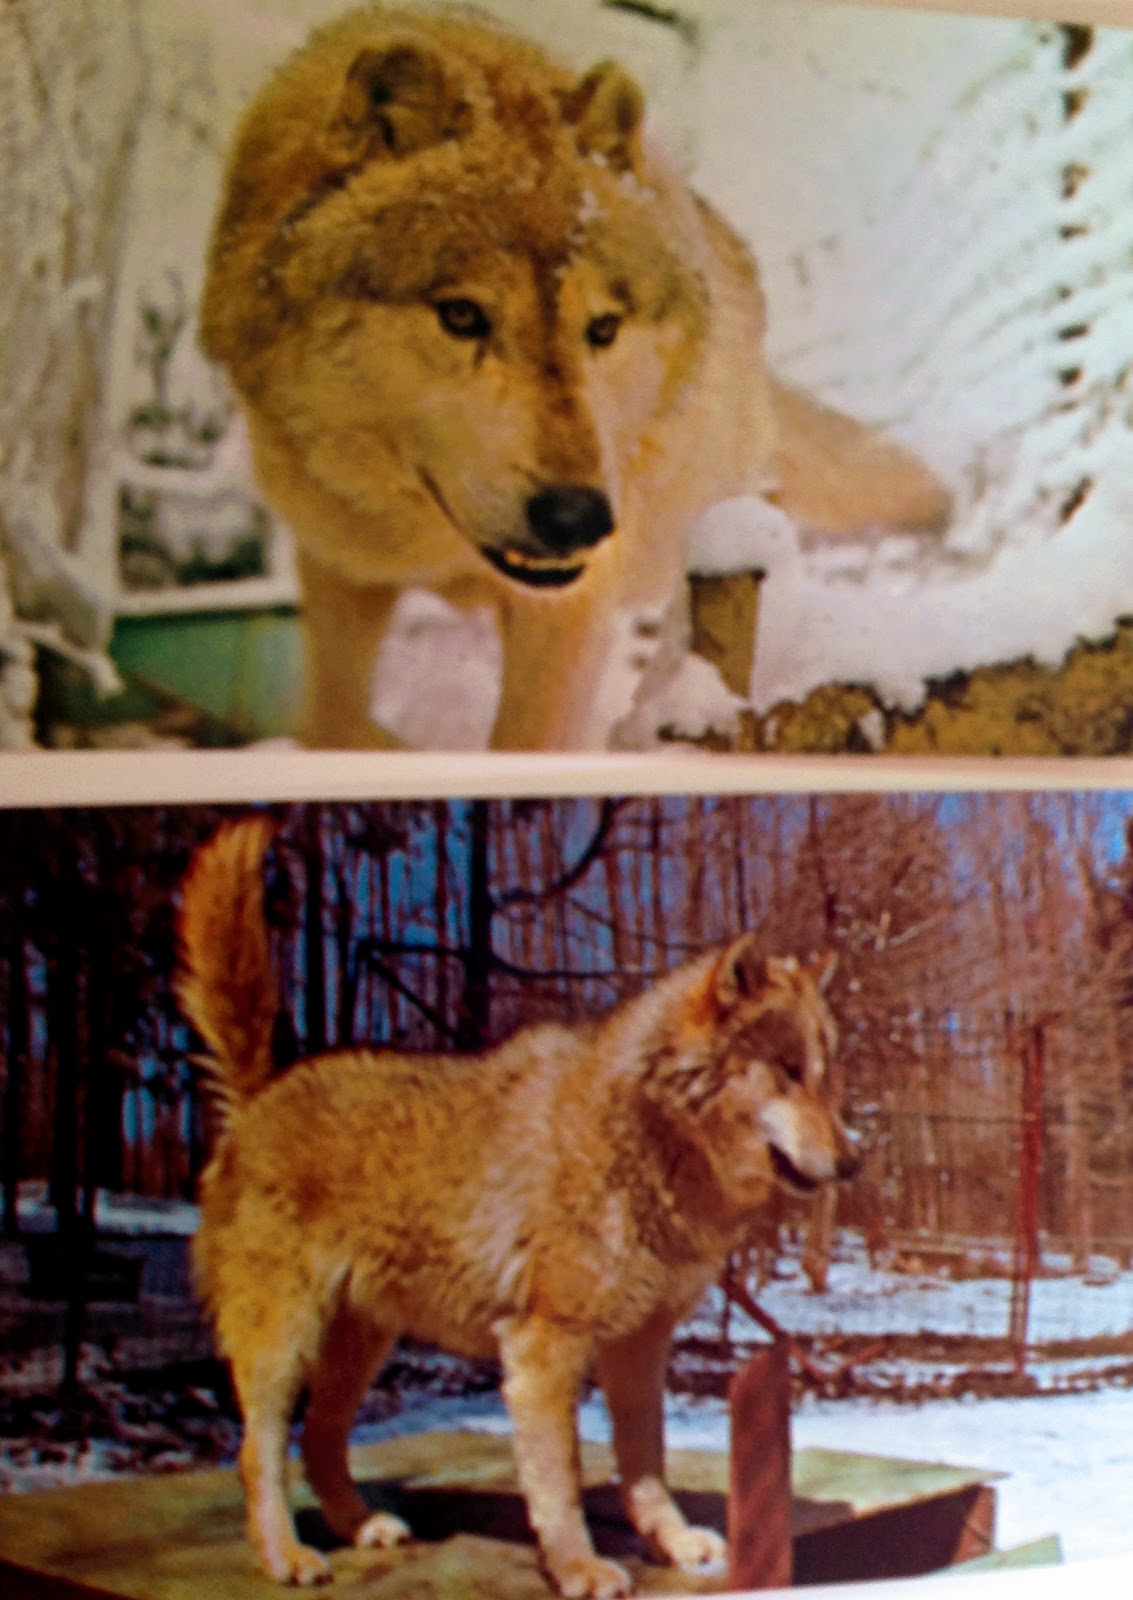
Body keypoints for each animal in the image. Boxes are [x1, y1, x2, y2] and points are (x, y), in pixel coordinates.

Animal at [179, 818, 859, 1597]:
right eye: (787, 1072)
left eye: (826, 1076)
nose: (853, 1163)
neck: (646, 1144)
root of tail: (258, 1099)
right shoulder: (544, 1348)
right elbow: (559, 1481)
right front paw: (578, 1567)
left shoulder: (640, 1344)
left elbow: (645, 1464)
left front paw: (674, 1542)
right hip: (285, 1342)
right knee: (258, 1451)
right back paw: (286, 1555)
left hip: (362, 1345)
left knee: (320, 1436)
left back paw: (362, 1527)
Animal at [200, 4, 950, 750]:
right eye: (462, 315)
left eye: (602, 328)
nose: (578, 517)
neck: (440, 550)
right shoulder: (338, 565)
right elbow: (334, 719)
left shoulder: (570, 607)